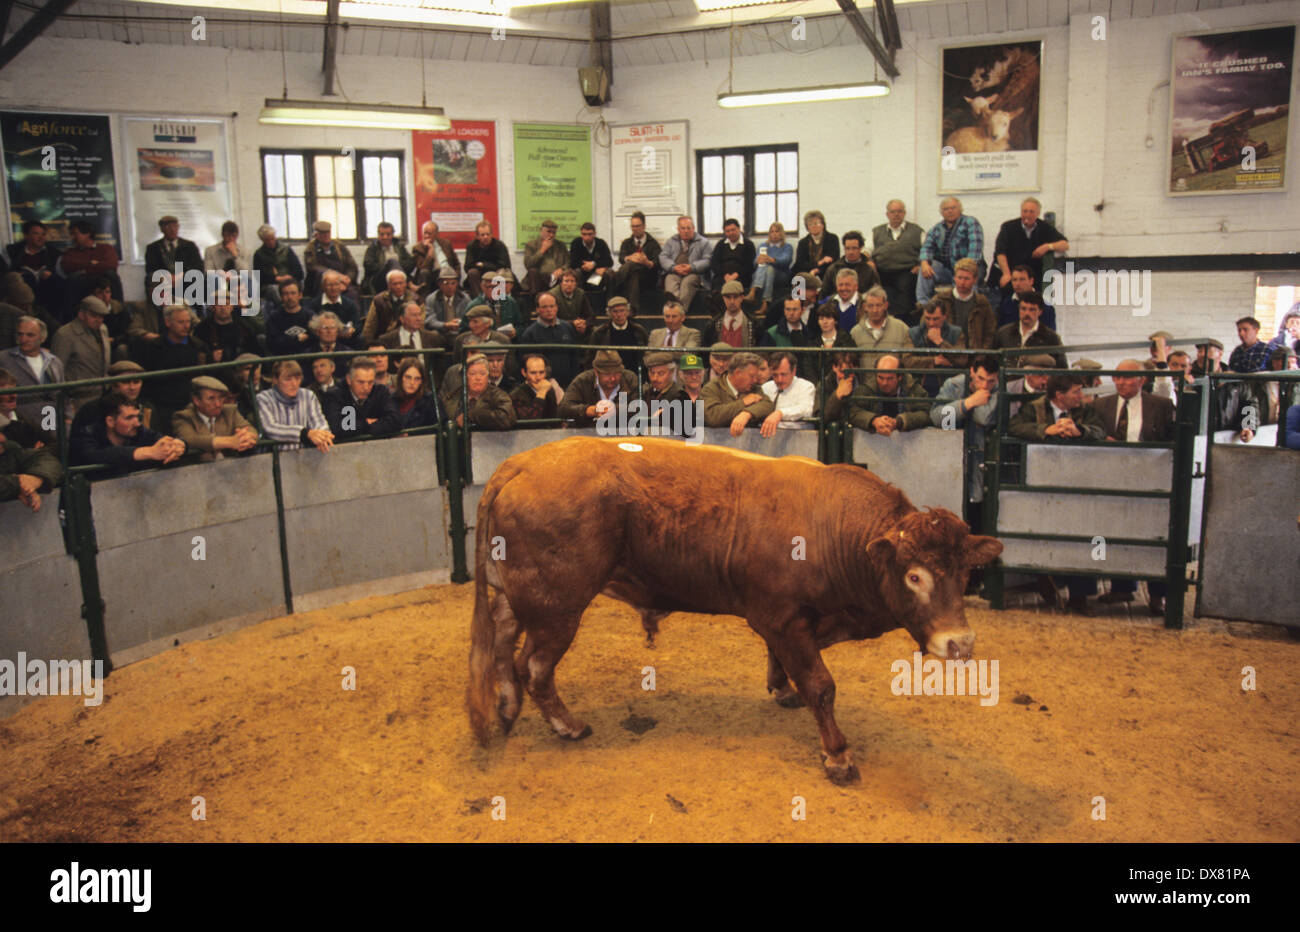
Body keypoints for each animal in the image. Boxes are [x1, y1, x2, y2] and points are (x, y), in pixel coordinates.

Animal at [466, 436, 1002, 785]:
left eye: (964, 574)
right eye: (915, 576)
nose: (960, 643)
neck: (829, 527)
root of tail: (522, 462)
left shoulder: (793, 621)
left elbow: (785, 661)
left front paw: (781, 687)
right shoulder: (783, 616)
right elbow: (821, 686)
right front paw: (837, 755)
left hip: (520, 595)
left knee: (502, 639)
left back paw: (507, 706)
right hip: (557, 607)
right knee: (534, 665)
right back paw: (568, 725)